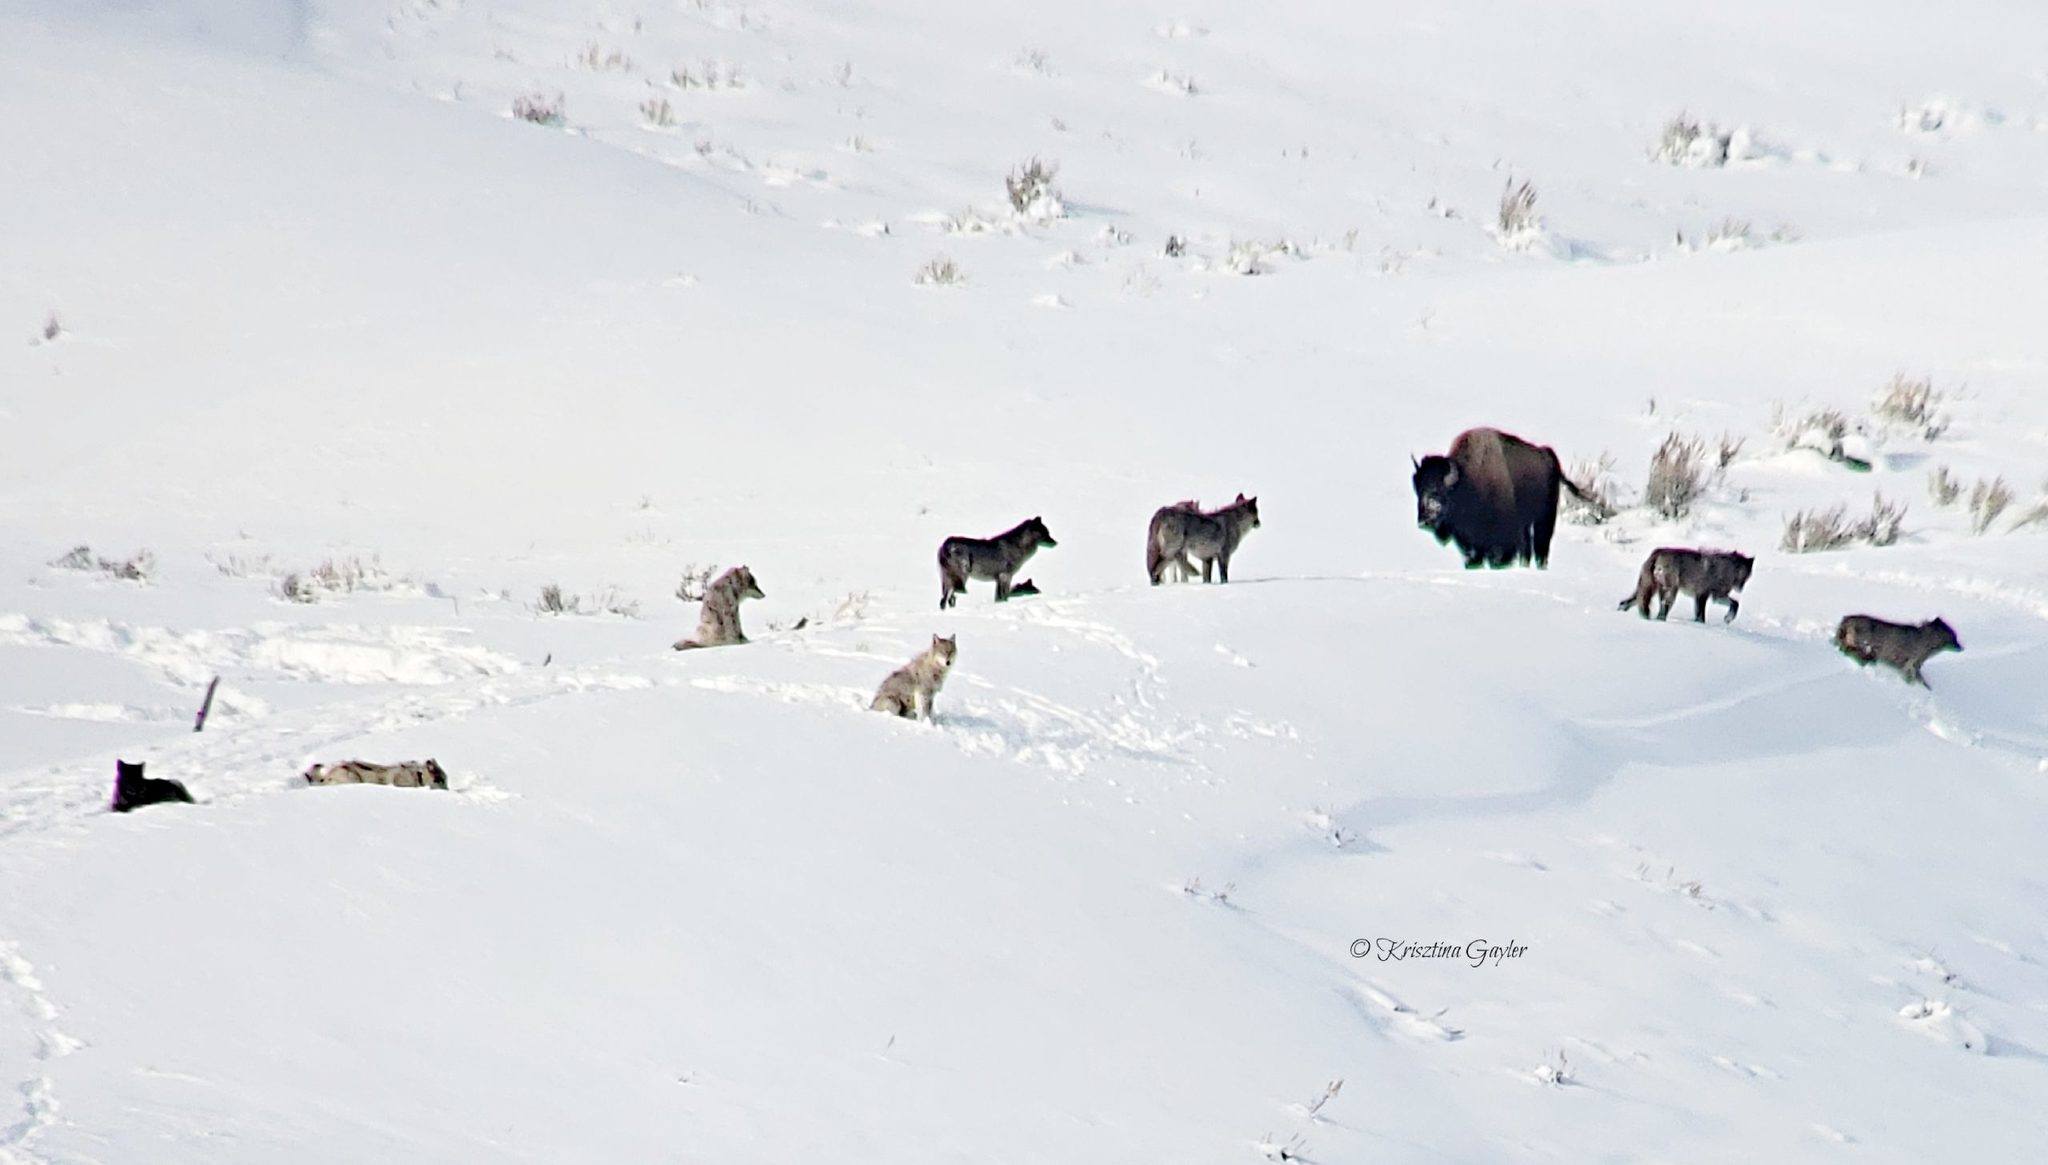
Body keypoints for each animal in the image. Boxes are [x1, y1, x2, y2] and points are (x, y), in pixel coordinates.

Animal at [1618, 548, 1755, 623]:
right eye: (1746, 575)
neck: (1725, 569)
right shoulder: (1713, 596)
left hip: (1652, 589)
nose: (1741, 589)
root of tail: (1657, 552)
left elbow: (1699, 614)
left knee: (1630, 602)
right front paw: (1728, 619)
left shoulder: (1702, 596)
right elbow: (1735, 604)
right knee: (1662, 607)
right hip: (1670, 592)